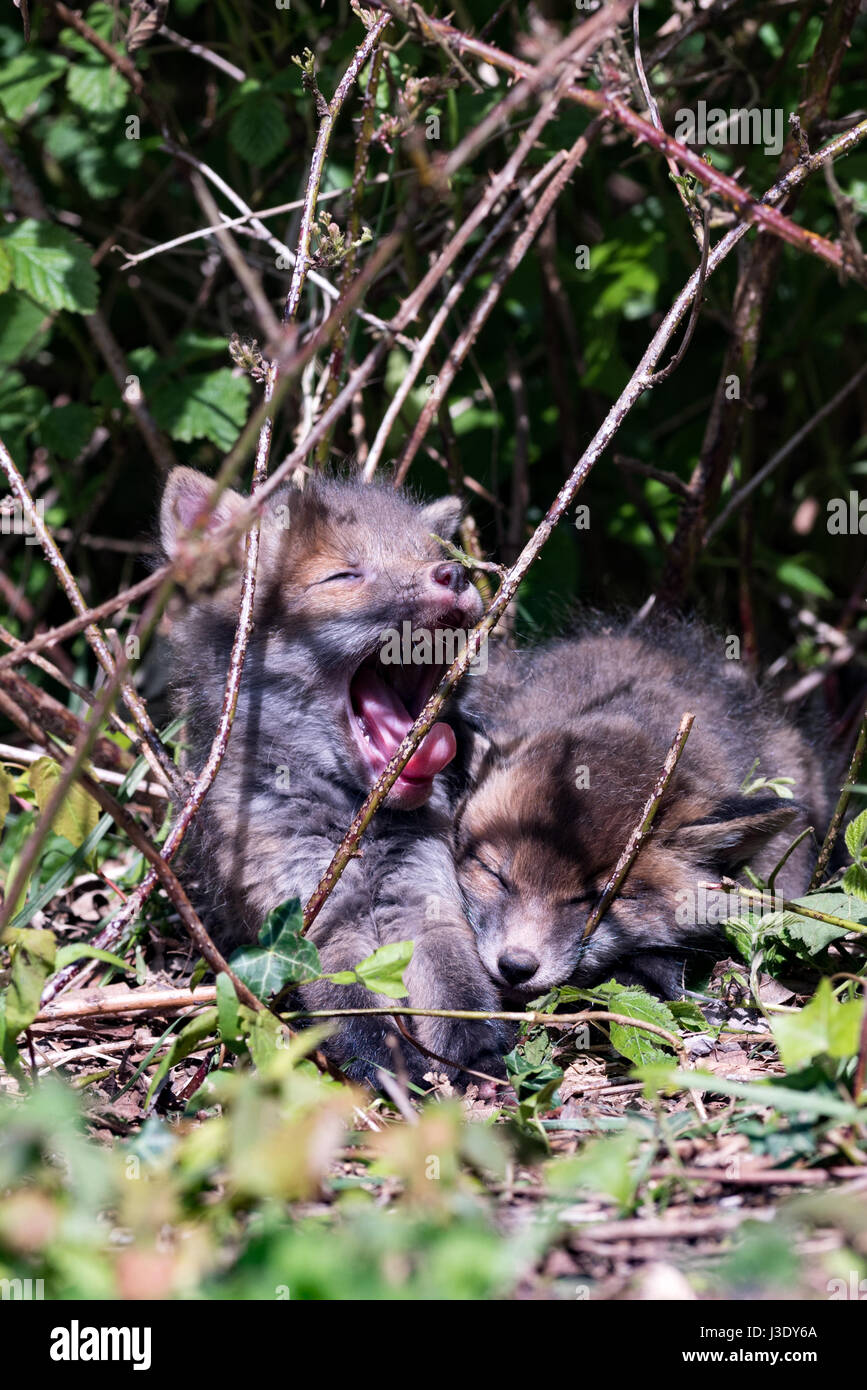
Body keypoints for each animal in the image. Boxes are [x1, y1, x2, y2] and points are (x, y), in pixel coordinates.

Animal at [159, 466, 507, 1086]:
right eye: (344, 575)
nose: (456, 574)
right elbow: (351, 1008)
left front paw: (478, 1059)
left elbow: (458, 991)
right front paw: (384, 1069)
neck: (357, 830)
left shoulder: (428, 900)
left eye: (431, 557)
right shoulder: (313, 923)